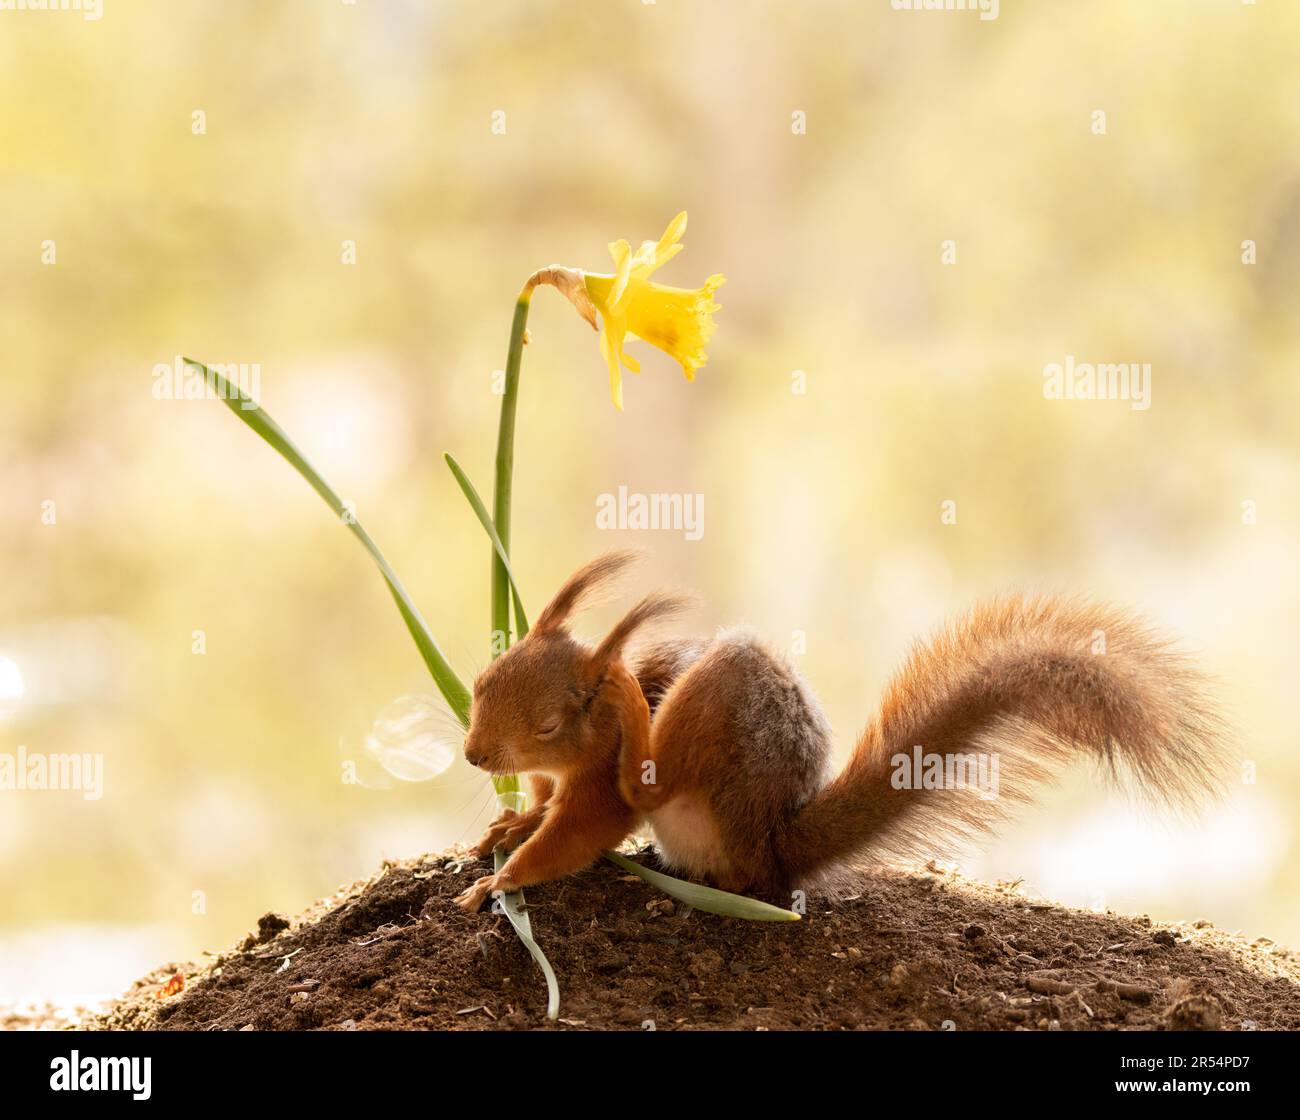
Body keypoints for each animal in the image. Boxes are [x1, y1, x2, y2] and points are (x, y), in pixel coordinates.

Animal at [454, 551, 1227, 913]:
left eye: (548, 724)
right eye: (483, 680)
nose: (475, 755)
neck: (570, 756)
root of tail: (772, 842)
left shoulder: (594, 790)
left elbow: (576, 834)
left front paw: (501, 880)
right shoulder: (548, 780)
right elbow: (539, 811)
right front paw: (505, 829)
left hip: (719, 724)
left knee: (649, 782)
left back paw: (636, 709)